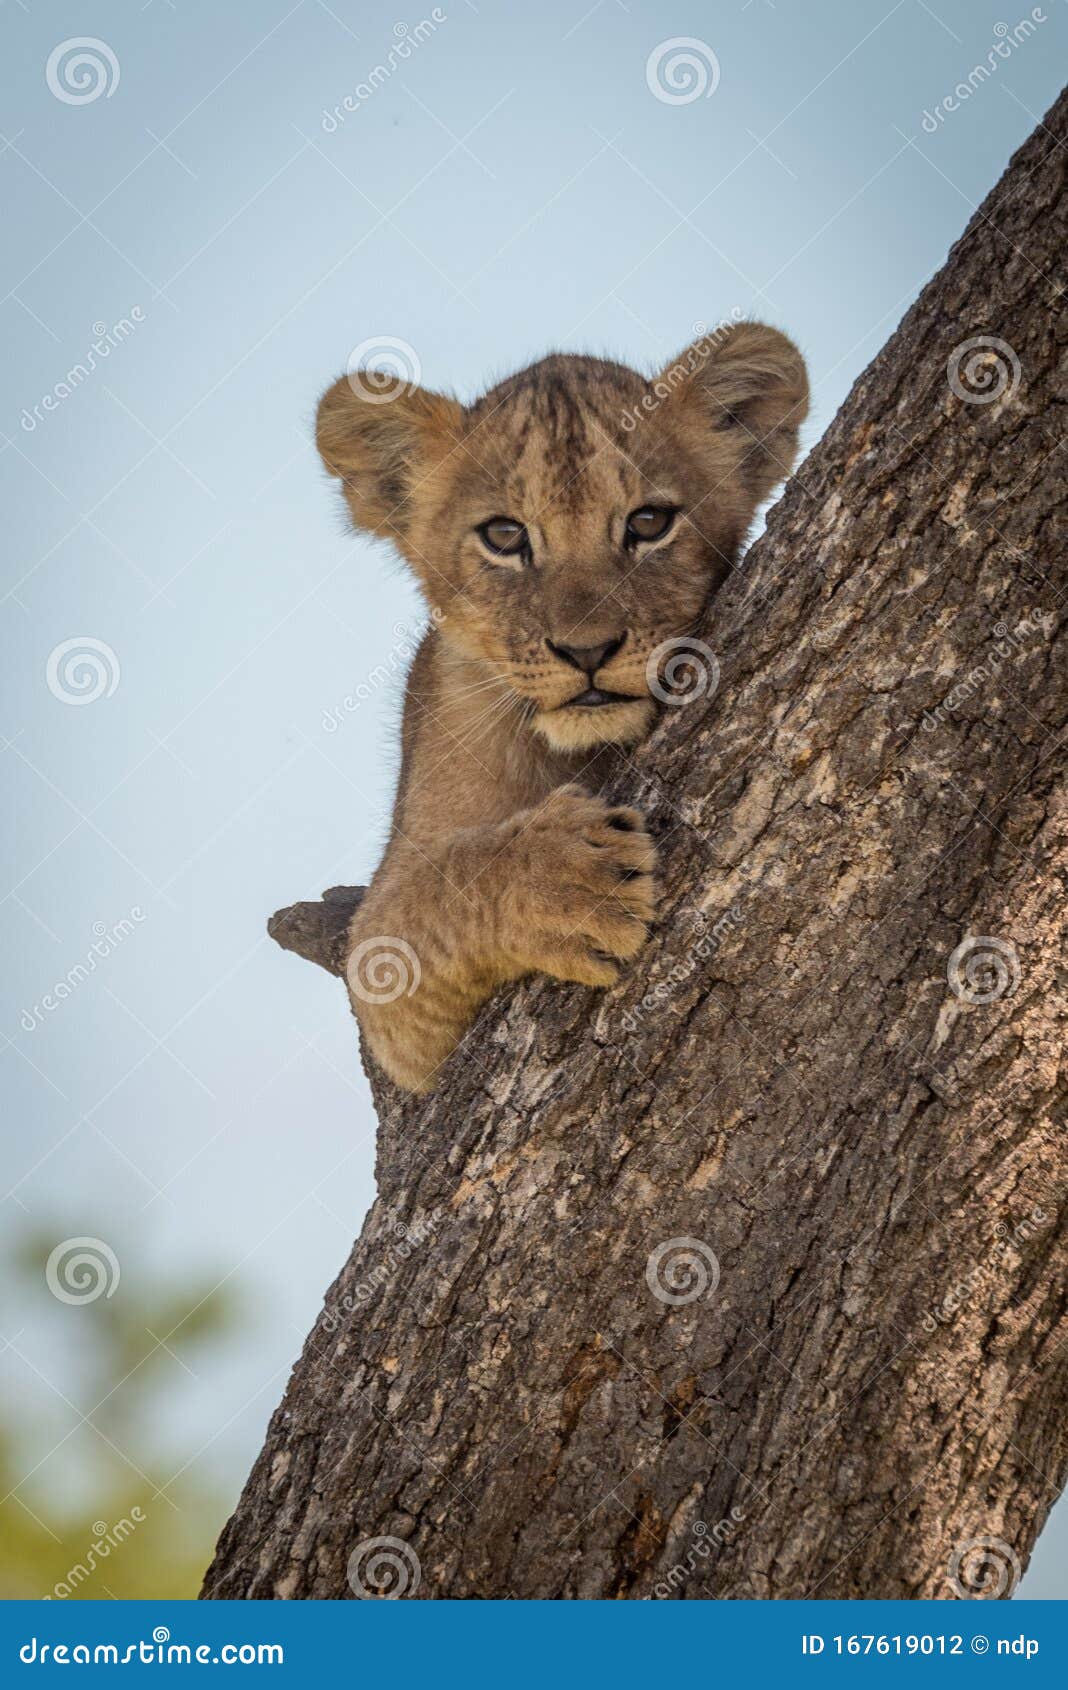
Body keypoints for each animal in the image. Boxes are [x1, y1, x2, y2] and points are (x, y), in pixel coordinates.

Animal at [316, 322, 808, 1092]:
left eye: (649, 522)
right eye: (505, 536)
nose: (587, 650)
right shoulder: (382, 960)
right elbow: (446, 887)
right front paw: (571, 882)